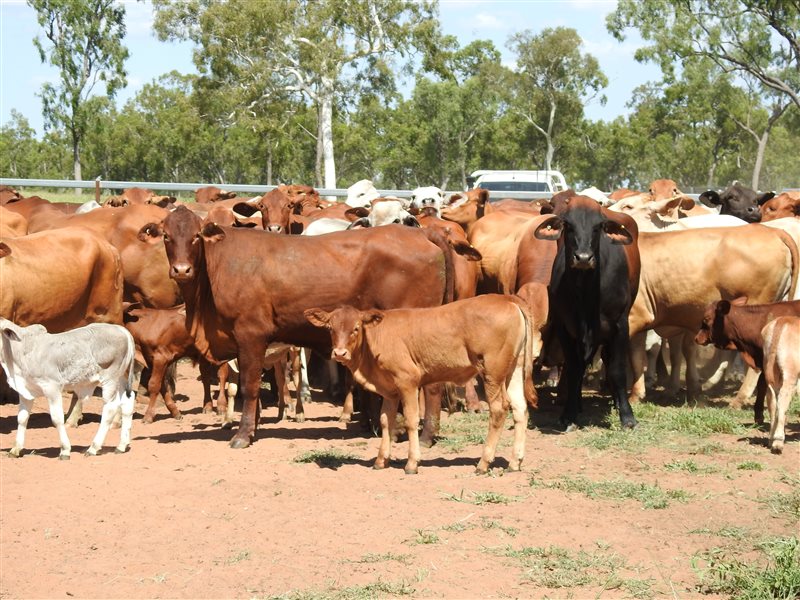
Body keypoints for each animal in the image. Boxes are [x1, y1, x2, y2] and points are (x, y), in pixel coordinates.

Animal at [0, 318, 136, 459]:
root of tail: (122, 330)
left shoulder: (52, 388)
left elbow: (57, 419)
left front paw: (65, 450)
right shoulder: (25, 391)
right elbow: (22, 418)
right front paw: (15, 449)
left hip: (110, 379)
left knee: (110, 408)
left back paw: (93, 448)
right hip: (121, 379)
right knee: (128, 401)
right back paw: (121, 445)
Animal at [137, 206, 459, 449]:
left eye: (196, 236)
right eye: (166, 236)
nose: (181, 270)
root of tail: (423, 233)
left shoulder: (250, 335)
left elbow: (250, 387)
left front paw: (243, 434)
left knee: (431, 387)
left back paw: (425, 436)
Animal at [305, 294, 538, 474]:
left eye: (356, 328)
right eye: (330, 328)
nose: (339, 353)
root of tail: (507, 298)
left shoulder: (408, 381)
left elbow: (410, 420)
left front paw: (411, 463)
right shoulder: (389, 391)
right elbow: (385, 420)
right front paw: (381, 460)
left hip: (492, 371)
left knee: (499, 409)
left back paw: (483, 463)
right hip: (513, 369)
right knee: (520, 408)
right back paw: (514, 462)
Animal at [533, 195, 640, 430]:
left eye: (597, 226)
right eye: (568, 225)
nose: (583, 258)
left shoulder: (620, 325)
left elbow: (617, 370)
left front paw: (627, 416)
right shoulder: (565, 327)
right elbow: (574, 368)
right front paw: (569, 413)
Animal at [761, 316, 800, 454]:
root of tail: (783, 320)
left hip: (771, 373)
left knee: (772, 401)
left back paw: (771, 440)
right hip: (790, 375)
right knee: (782, 401)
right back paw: (778, 442)